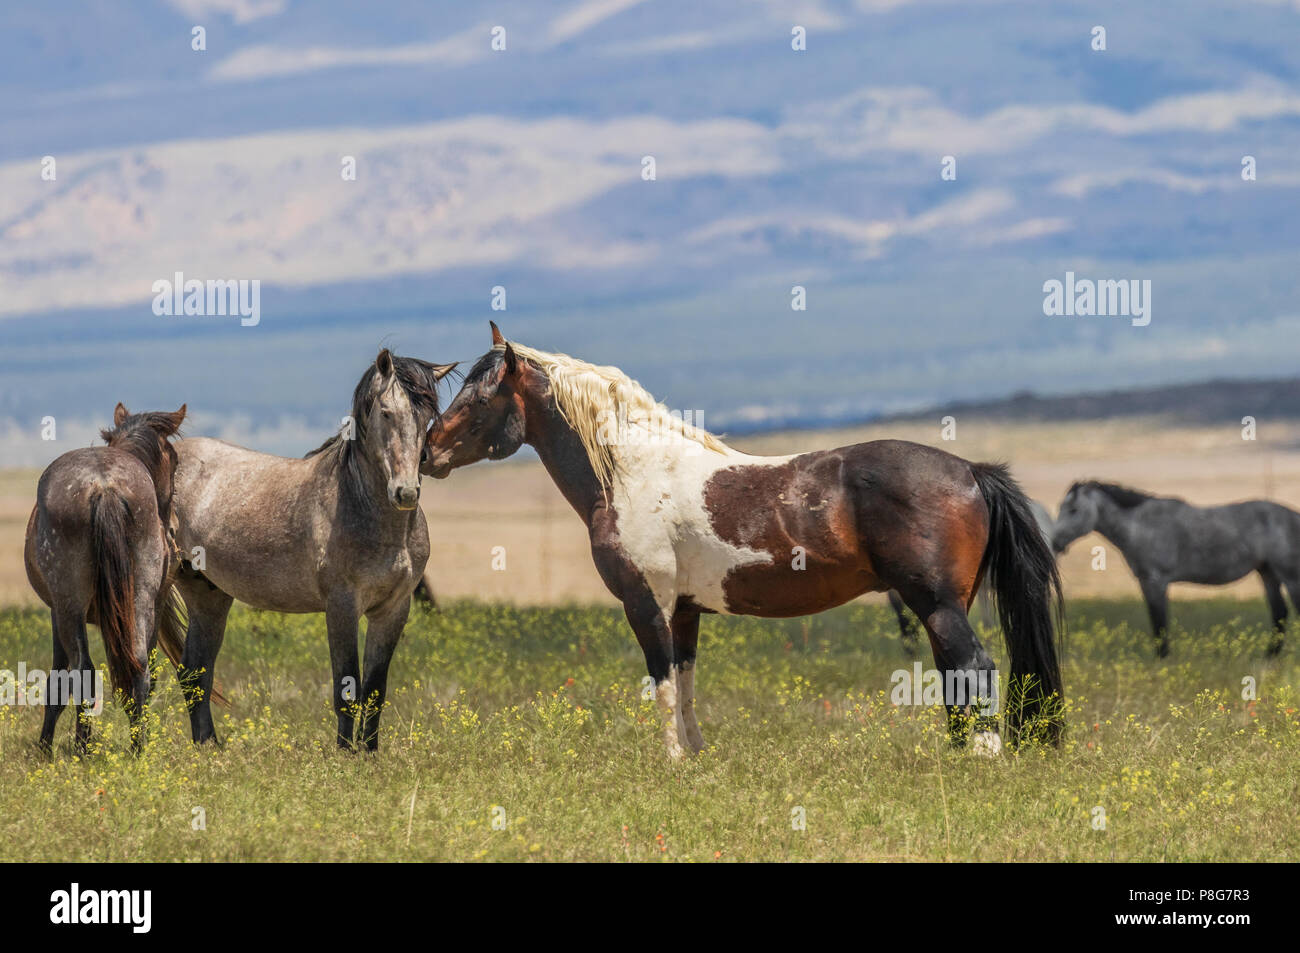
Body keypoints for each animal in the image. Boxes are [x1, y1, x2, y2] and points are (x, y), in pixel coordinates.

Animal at [24, 403, 189, 752]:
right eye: (175, 460)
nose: (173, 526)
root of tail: (104, 485)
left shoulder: (56, 611)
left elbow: (57, 682)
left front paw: (44, 747)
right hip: (138, 599)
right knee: (138, 667)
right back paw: (138, 748)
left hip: (70, 607)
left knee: (83, 670)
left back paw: (82, 749)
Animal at [170, 349, 456, 750]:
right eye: (386, 412)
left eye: (427, 416)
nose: (406, 492)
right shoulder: (341, 606)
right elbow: (347, 688)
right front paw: (344, 753)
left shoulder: (393, 610)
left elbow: (375, 690)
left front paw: (369, 753)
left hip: (207, 594)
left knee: (195, 673)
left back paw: (208, 747)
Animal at [422, 323, 1064, 758]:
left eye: (479, 397)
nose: (428, 452)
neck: (630, 473)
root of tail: (971, 471)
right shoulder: (683, 611)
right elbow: (684, 682)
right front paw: (696, 756)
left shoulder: (646, 605)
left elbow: (661, 682)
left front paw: (671, 762)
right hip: (937, 607)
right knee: (954, 672)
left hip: (936, 604)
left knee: (976, 667)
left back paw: (981, 762)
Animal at [1052, 481, 1300, 657]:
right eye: (1061, 508)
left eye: (1073, 509)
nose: (1055, 543)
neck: (1141, 526)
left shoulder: (1155, 581)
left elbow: (1159, 622)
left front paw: (1162, 659)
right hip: (1268, 573)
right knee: (1280, 613)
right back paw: (1269, 657)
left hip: (1289, 577)